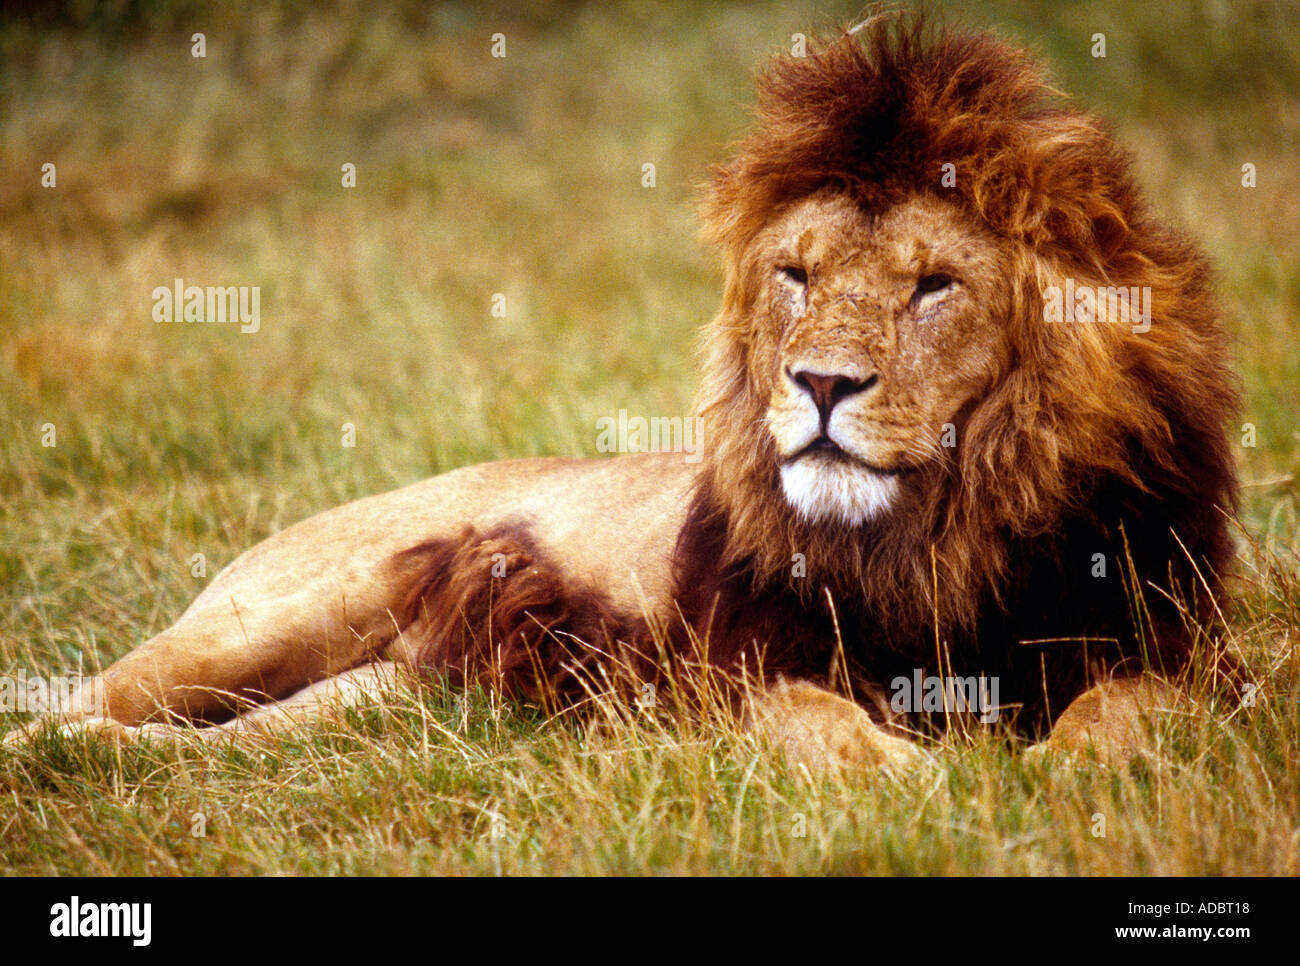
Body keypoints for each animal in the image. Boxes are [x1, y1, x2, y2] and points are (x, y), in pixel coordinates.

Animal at [5, 15, 1243, 771]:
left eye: (932, 285)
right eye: (797, 275)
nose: (820, 383)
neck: (934, 529)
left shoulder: (1175, 647)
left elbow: (1129, 718)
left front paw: (1058, 777)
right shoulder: (723, 672)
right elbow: (815, 726)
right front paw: (916, 779)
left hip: (394, 695)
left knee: (224, 743)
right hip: (275, 615)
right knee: (84, 700)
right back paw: (48, 759)